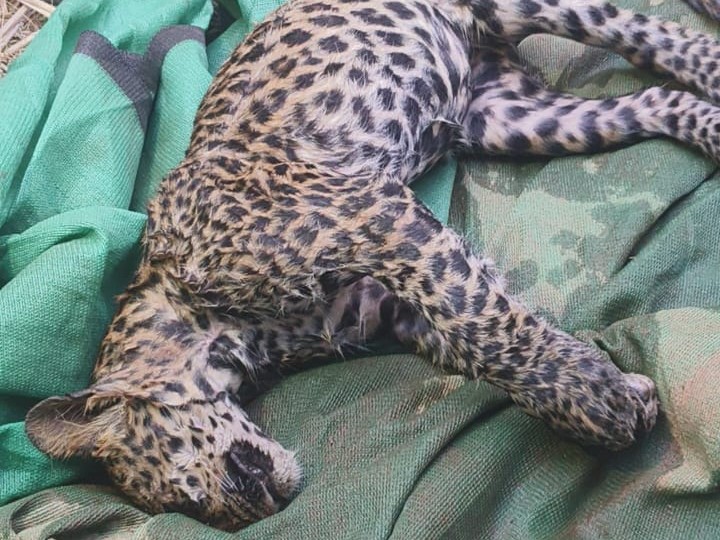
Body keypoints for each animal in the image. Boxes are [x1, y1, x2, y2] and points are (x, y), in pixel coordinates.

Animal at [23, 0, 720, 531]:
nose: (256, 510)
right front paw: (603, 390)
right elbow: (481, 319)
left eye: (178, 491)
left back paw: (708, 67)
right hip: (514, 119)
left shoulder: (370, 215)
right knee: (652, 99)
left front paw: (600, 402)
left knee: (644, 31)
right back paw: (708, 123)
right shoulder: (392, 306)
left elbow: (483, 327)